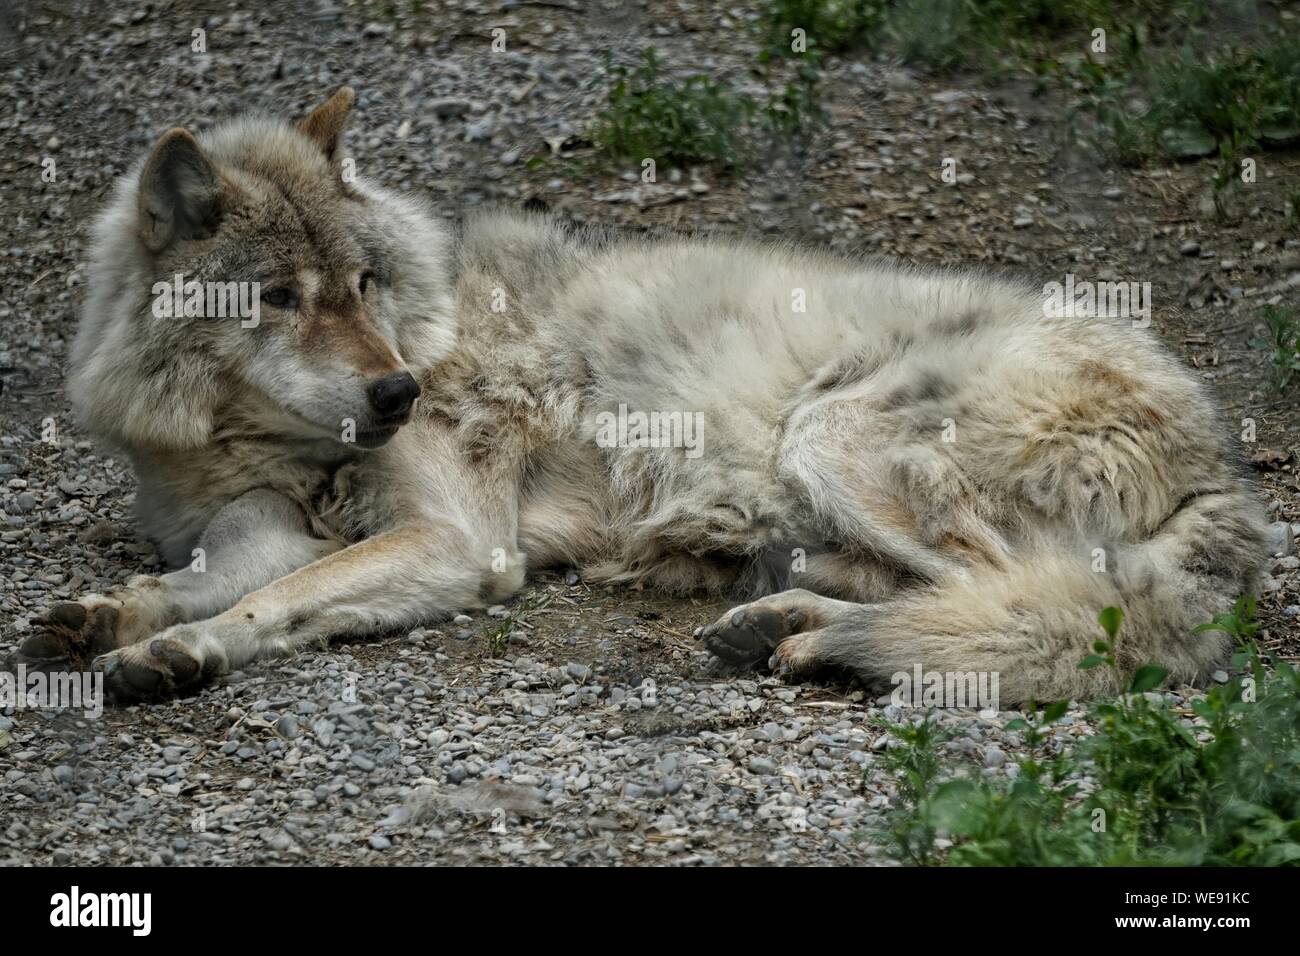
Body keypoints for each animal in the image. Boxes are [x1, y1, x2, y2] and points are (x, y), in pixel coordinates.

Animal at [16, 87, 1267, 705]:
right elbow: (186, 577)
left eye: (363, 284)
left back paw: (817, 640)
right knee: (959, 594)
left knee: (1009, 595)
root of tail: (1220, 453)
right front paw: (109, 616)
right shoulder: (258, 527)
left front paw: (183, 652)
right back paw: (787, 627)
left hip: (829, 435)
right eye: (278, 297)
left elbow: (270, 601)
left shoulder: (456, 541)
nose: (398, 389)